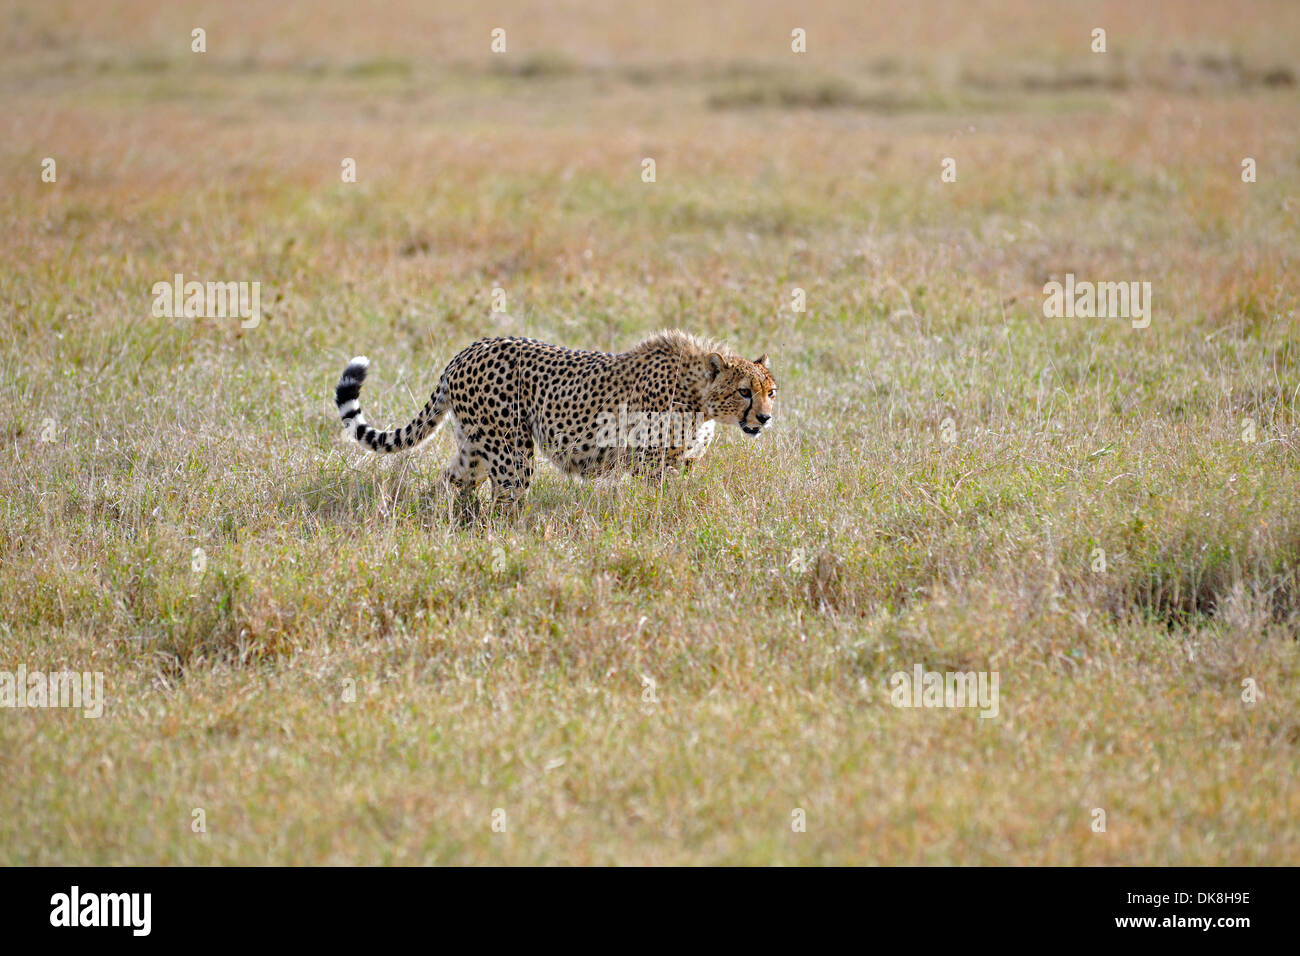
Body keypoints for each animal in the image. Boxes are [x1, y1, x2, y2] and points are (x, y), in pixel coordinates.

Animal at [333, 329, 777, 519]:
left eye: (770, 391)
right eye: (744, 391)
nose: (765, 418)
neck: (700, 394)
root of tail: (469, 349)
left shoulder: (680, 462)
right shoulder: (651, 462)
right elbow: (665, 501)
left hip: (475, 445)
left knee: (454, 480)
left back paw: (460, 521)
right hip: (511, 450)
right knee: (506, 498)